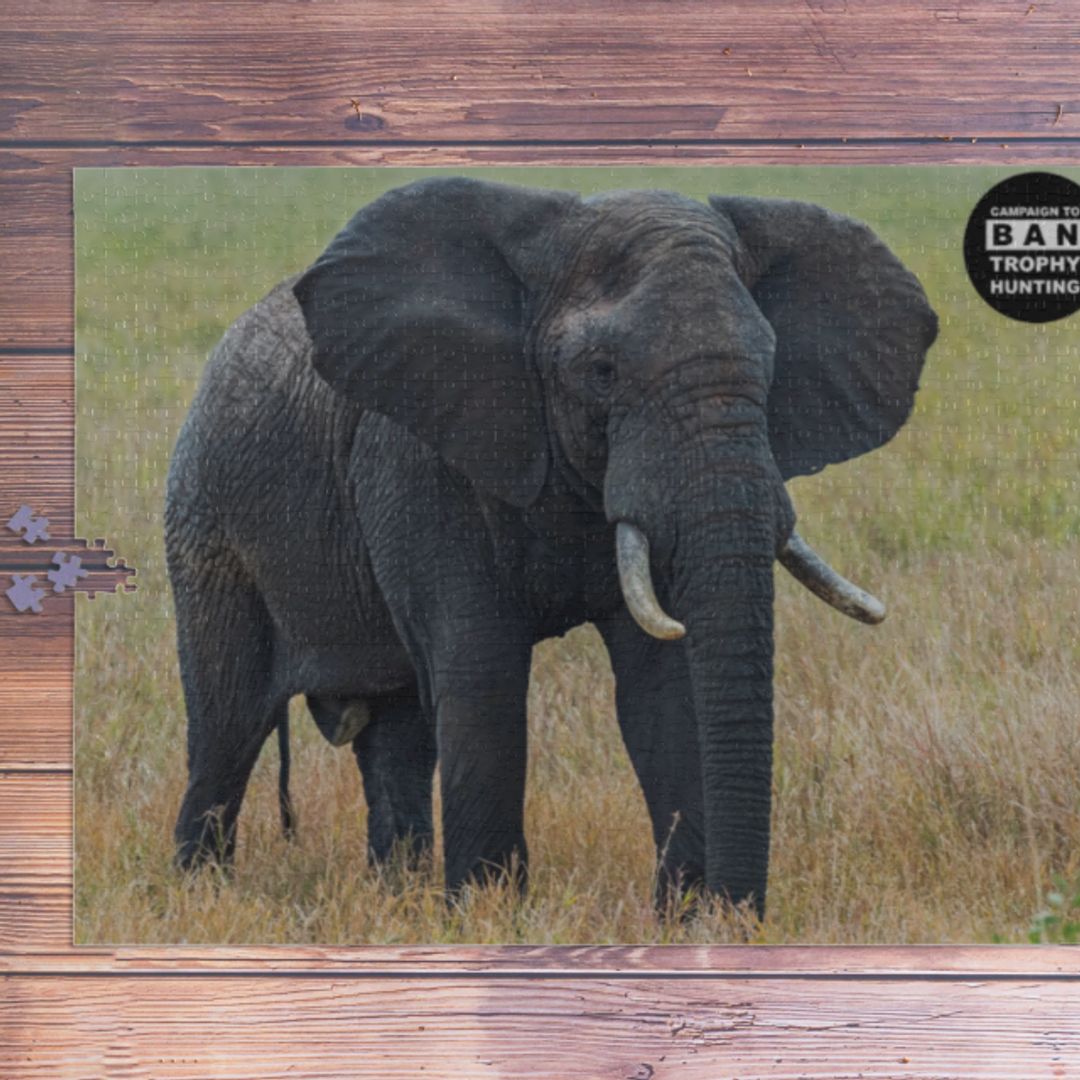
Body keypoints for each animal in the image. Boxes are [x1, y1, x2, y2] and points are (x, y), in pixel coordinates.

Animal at [165, 176, 937, 916]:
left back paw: (397, 899)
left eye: (772, 368)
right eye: (601, 372)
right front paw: (487, 919)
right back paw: (201, 897)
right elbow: (483, 674)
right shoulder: (417, 460)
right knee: (229, 725)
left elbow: (662, 689)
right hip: (206, 521)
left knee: (396, 737)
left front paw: (687, 921)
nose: (740, 913)